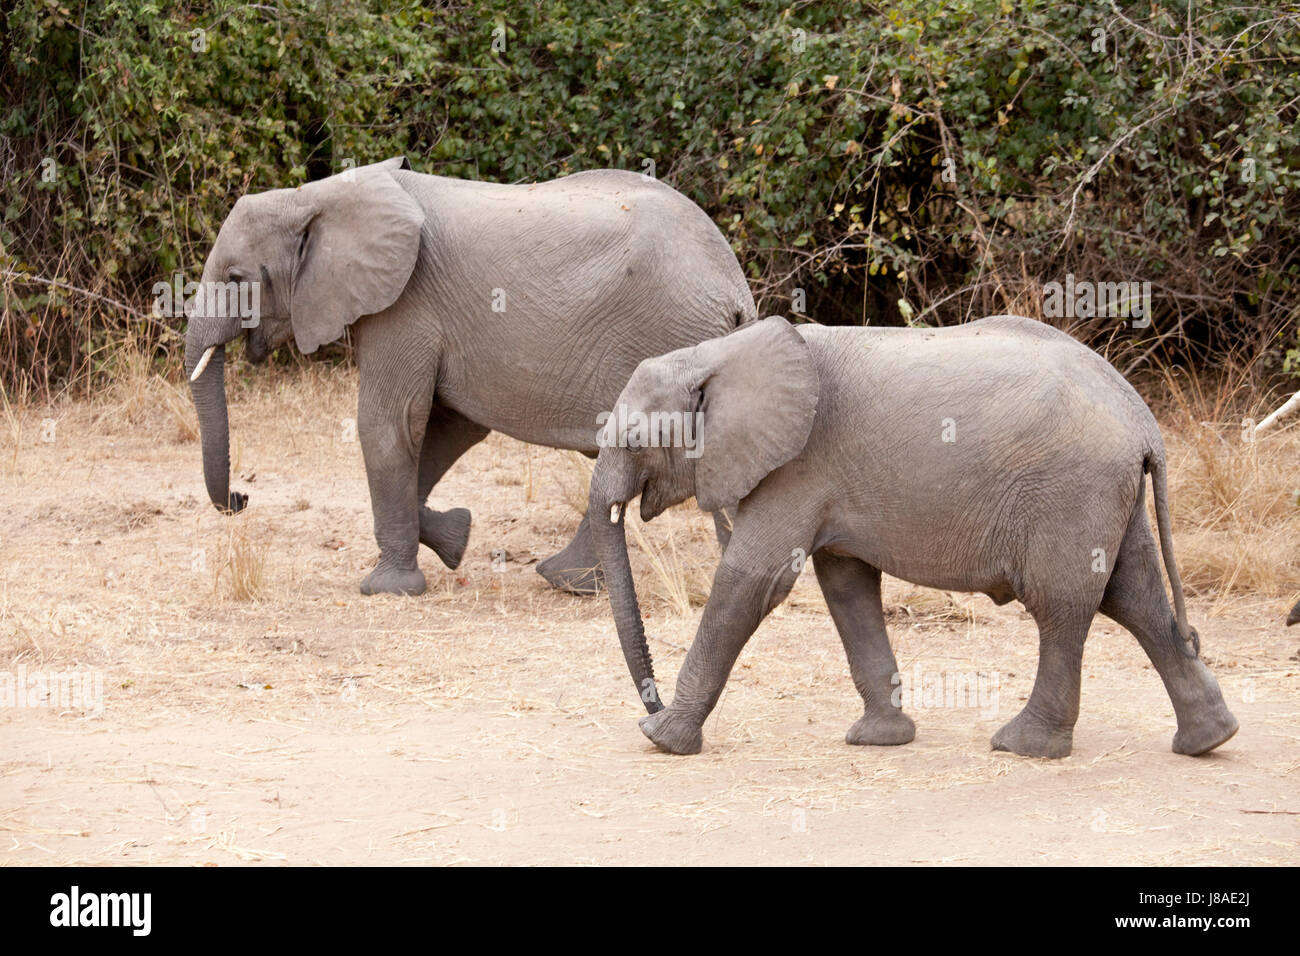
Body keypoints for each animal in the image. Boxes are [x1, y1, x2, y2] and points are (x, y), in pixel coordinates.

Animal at [184, 157, 754, 596]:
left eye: (236, 279)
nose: (242, 498)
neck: (320, 197)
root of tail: (736, 291)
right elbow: (448, 427)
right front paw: (453, 538)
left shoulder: (407, 303)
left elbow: (390, 424)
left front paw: (388, 589)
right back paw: (569, 582)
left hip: (665, 336)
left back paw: (565, 581)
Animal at [589, 314, 1240, 759]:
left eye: (636, 437)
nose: (649, 700)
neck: (713, 355)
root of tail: (1142, 419)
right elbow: (846, 587)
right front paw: (881, 740)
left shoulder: (797, 467)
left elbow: (753, 581)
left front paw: (662, 739)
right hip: (1107, 492)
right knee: (1135, 598)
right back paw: (1209, 740)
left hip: (1073, 488)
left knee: (1062, 606)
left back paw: (1024, 746)